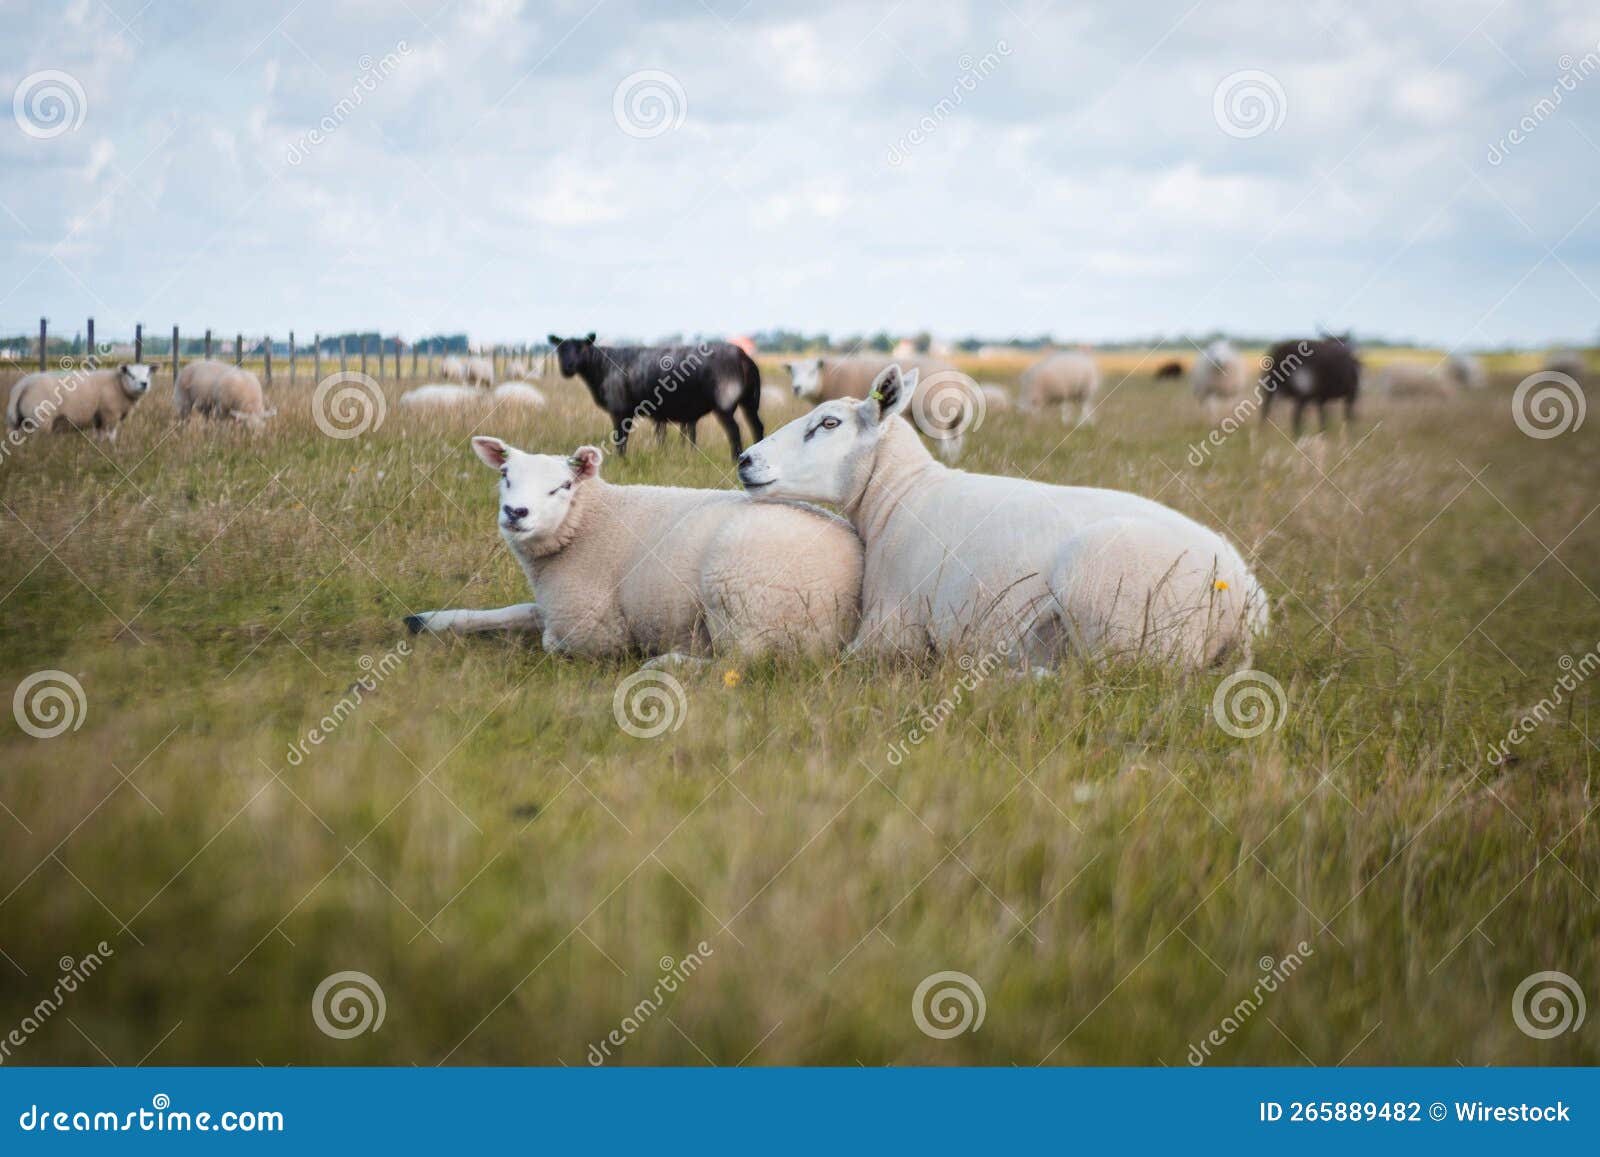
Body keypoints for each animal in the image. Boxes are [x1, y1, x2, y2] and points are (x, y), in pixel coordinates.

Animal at [6, 364, 155, 441]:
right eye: (131, 375)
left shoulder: (99, 417)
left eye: (148, 374)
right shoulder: (109, 414)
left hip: (17, 421)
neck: (118, 384)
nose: (144, 384)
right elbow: (110, 437)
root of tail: (22, 385)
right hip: (41, 420)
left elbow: (100, 436)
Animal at [405, 438, 863, 660]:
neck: (587, 522)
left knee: (742, 663)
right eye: (505, 475)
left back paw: (668, 662)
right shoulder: (557, 604)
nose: (515, 512)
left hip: (745, 597)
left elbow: (551, 640)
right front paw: (428, 620)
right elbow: (519, 611)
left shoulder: (591, 627)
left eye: (563, 485)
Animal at [736, 364, 1266, 670]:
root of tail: (1239, 599)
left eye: (829, 424)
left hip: (1118, 615)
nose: (744, 459)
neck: (901, 493)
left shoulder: (889, 628)